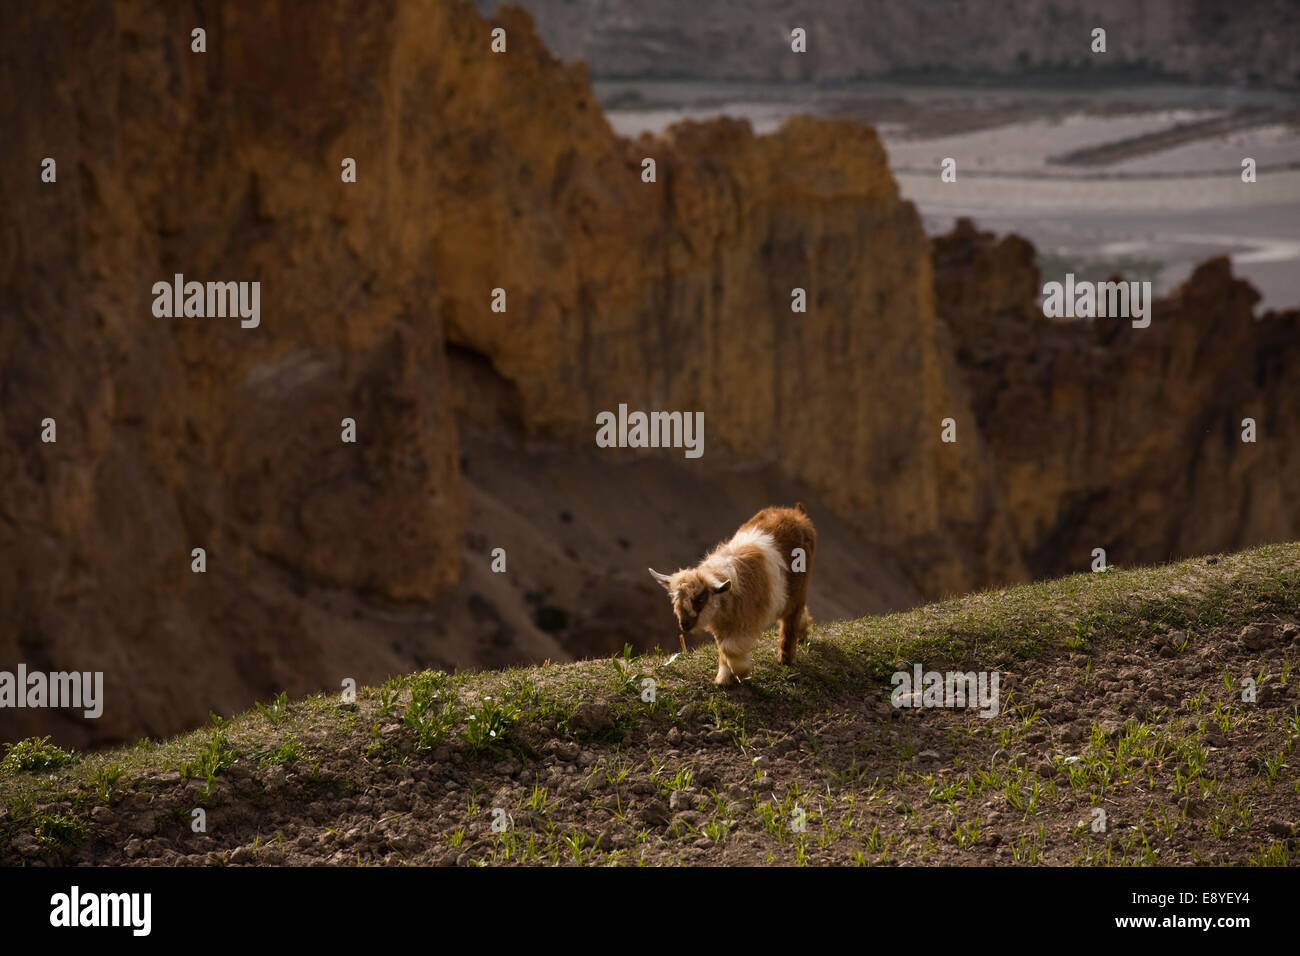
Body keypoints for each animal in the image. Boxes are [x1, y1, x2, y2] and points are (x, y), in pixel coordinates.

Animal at [649, 504, 816, 684]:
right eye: (675, 600)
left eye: (700, 599)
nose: (684, 624)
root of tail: (795, 512)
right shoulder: (722, 627)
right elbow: (723, 649)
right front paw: (724, 678)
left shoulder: (746, 623)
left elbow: (730, 649)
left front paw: (741, 672)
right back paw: (803, 632)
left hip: (797, 591)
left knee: (790, 620)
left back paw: (785, 658)